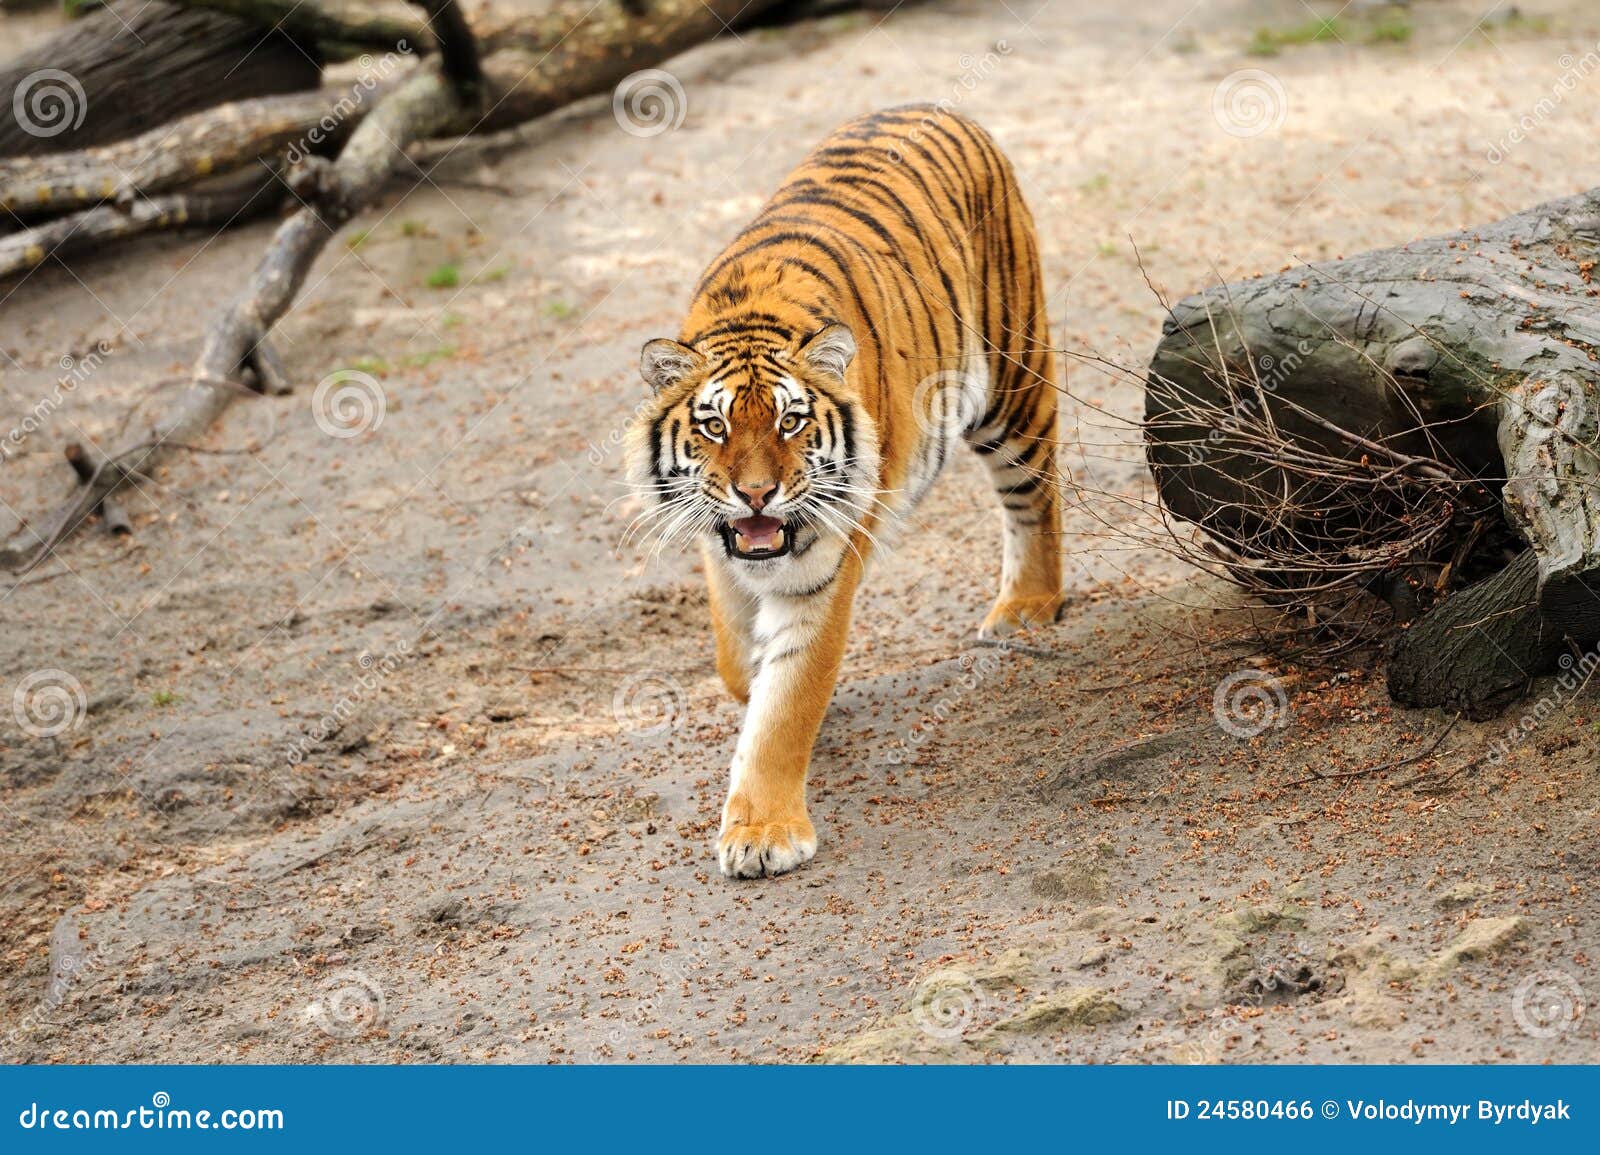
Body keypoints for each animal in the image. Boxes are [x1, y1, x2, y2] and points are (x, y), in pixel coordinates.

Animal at [625, 105, 1066, 879]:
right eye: (713, 426)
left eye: (790, 421)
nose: (757, 494)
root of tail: (940, 105)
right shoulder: (720, 550)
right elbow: (737, 665)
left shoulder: (822, 570)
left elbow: (788, 700)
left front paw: (763, 833)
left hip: (1013, 380)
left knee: (1035, 493)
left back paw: (1026, 607)